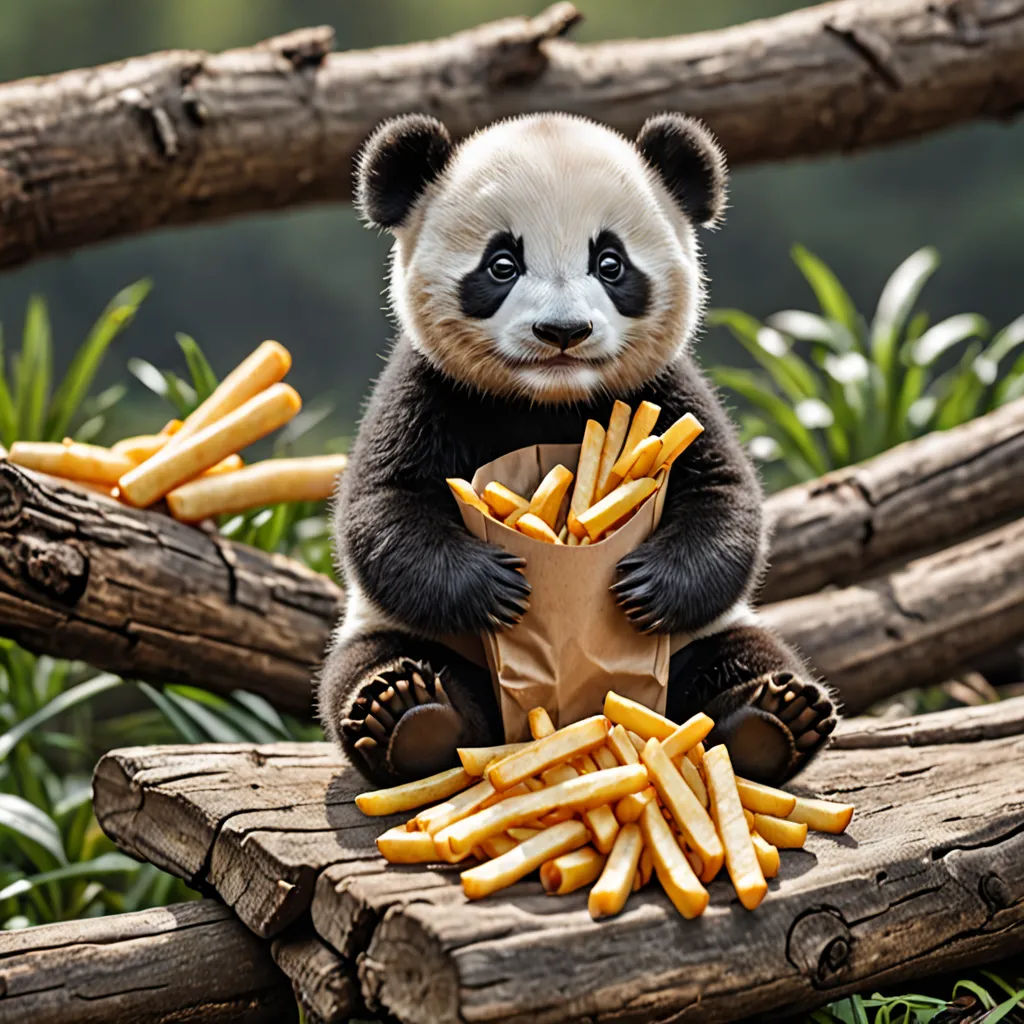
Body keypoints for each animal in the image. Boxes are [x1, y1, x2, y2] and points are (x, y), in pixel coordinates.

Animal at [318, 111, 838, 787]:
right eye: (502, 264)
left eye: (611, 263)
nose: (562, 331)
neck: (548, 399)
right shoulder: (428, 388)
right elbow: (382, 507)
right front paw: (496, 586)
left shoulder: (665, 390)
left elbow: (725, 496)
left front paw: (646, 585)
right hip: (399, 634)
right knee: (370, 665)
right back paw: (411, 716)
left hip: (702, 646)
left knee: (742, 655)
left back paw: (771, 719)